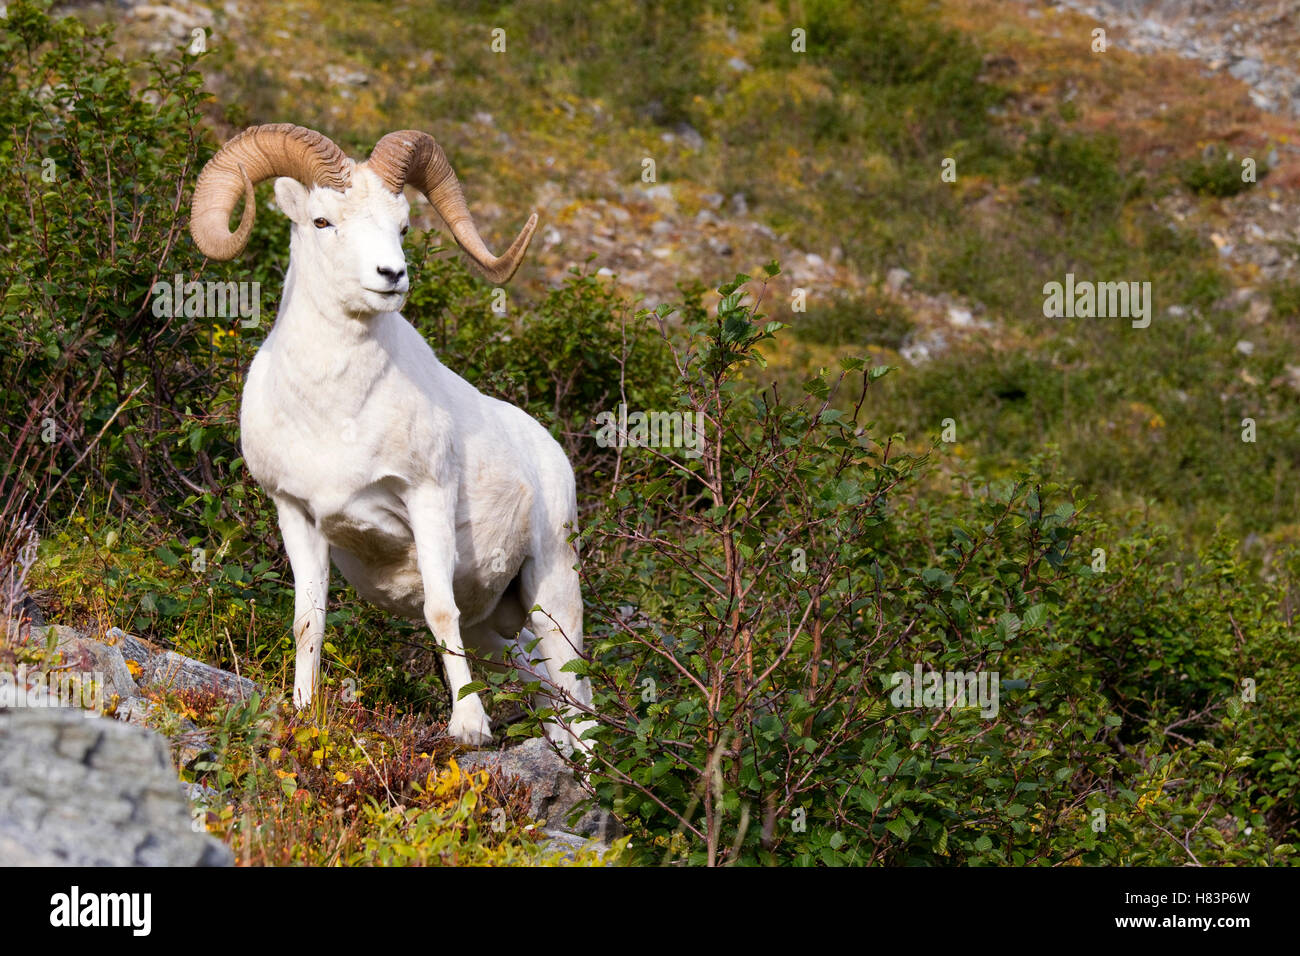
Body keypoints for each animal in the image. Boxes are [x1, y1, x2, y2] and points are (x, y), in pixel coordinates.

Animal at [189, 124, 593, 750]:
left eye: (402, 226)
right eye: (322, 221)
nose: (391, 276)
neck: (335, 414)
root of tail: (553, 457)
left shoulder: (425, 499)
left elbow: (439, 612)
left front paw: (469, 729)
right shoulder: (297, 514)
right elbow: (308, 619)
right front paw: (303, 708)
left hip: (553, 590)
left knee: (581, 701)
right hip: (501, 631)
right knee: (550, 702)